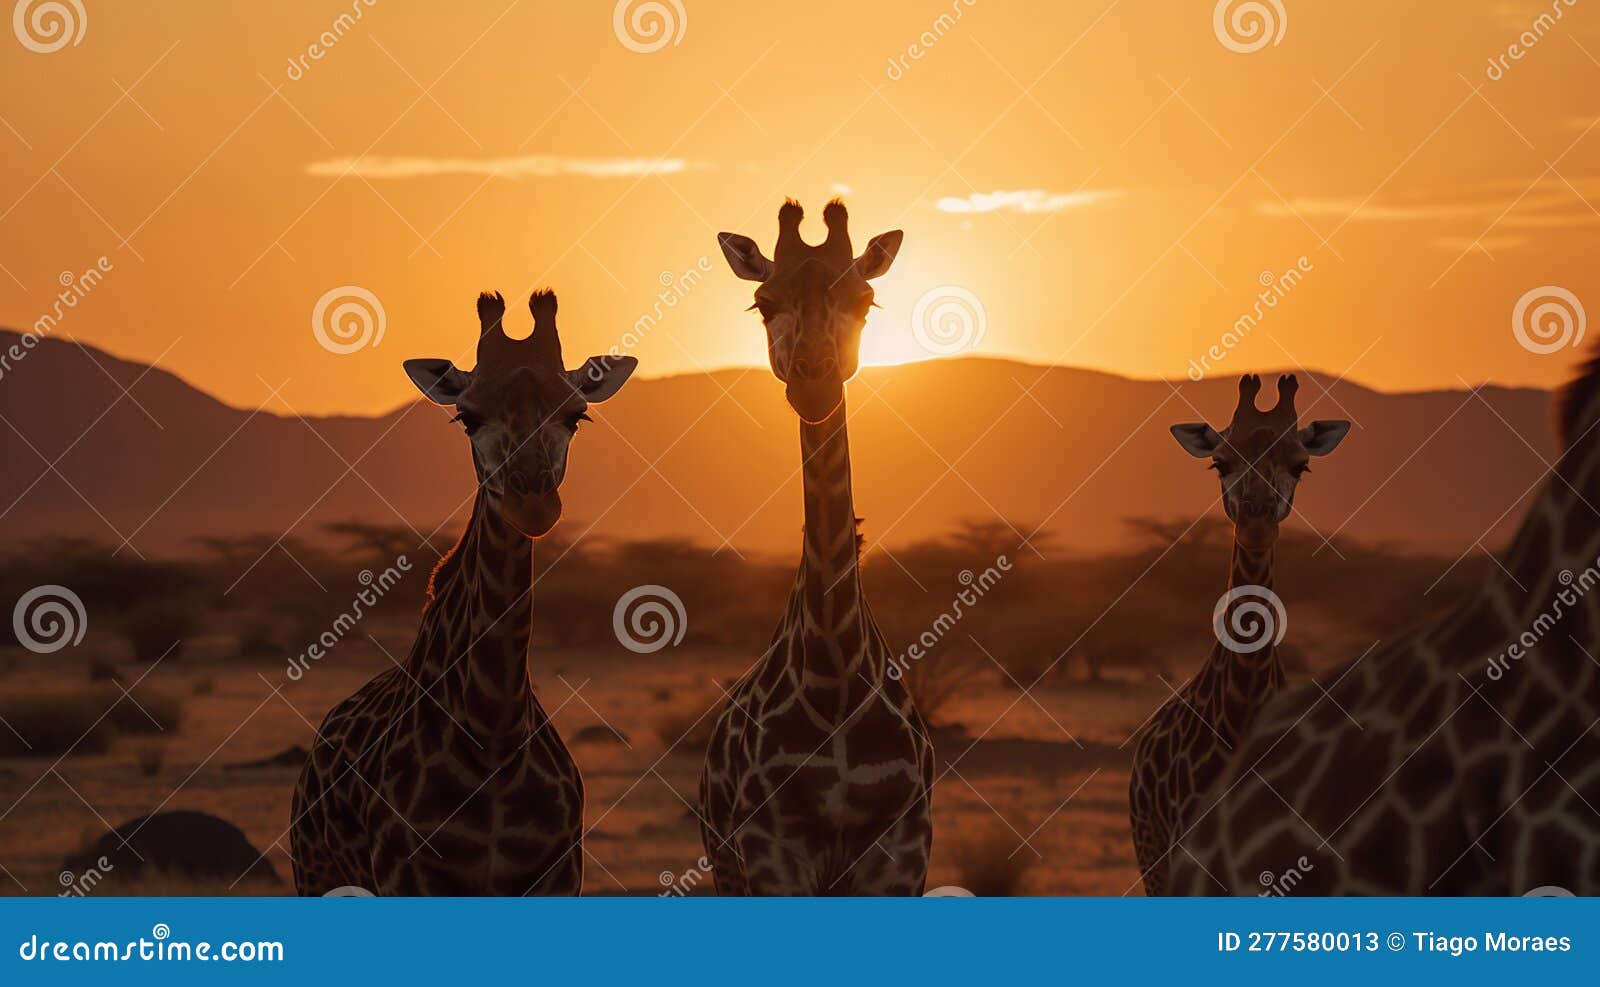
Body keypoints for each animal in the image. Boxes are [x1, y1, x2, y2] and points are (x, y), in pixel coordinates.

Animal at [290, 289, 636, 895]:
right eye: (466, 417)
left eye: (576, 415)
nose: (532, 504)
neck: (493, 735)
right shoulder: (408, 880)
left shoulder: (558, 877)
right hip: (313, 874)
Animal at [697, 199, 934, 895]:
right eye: (764, 302)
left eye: (865, 298)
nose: (814, 385)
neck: (833, 676)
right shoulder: (772, 850)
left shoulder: (898, 849)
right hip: (725, 864)